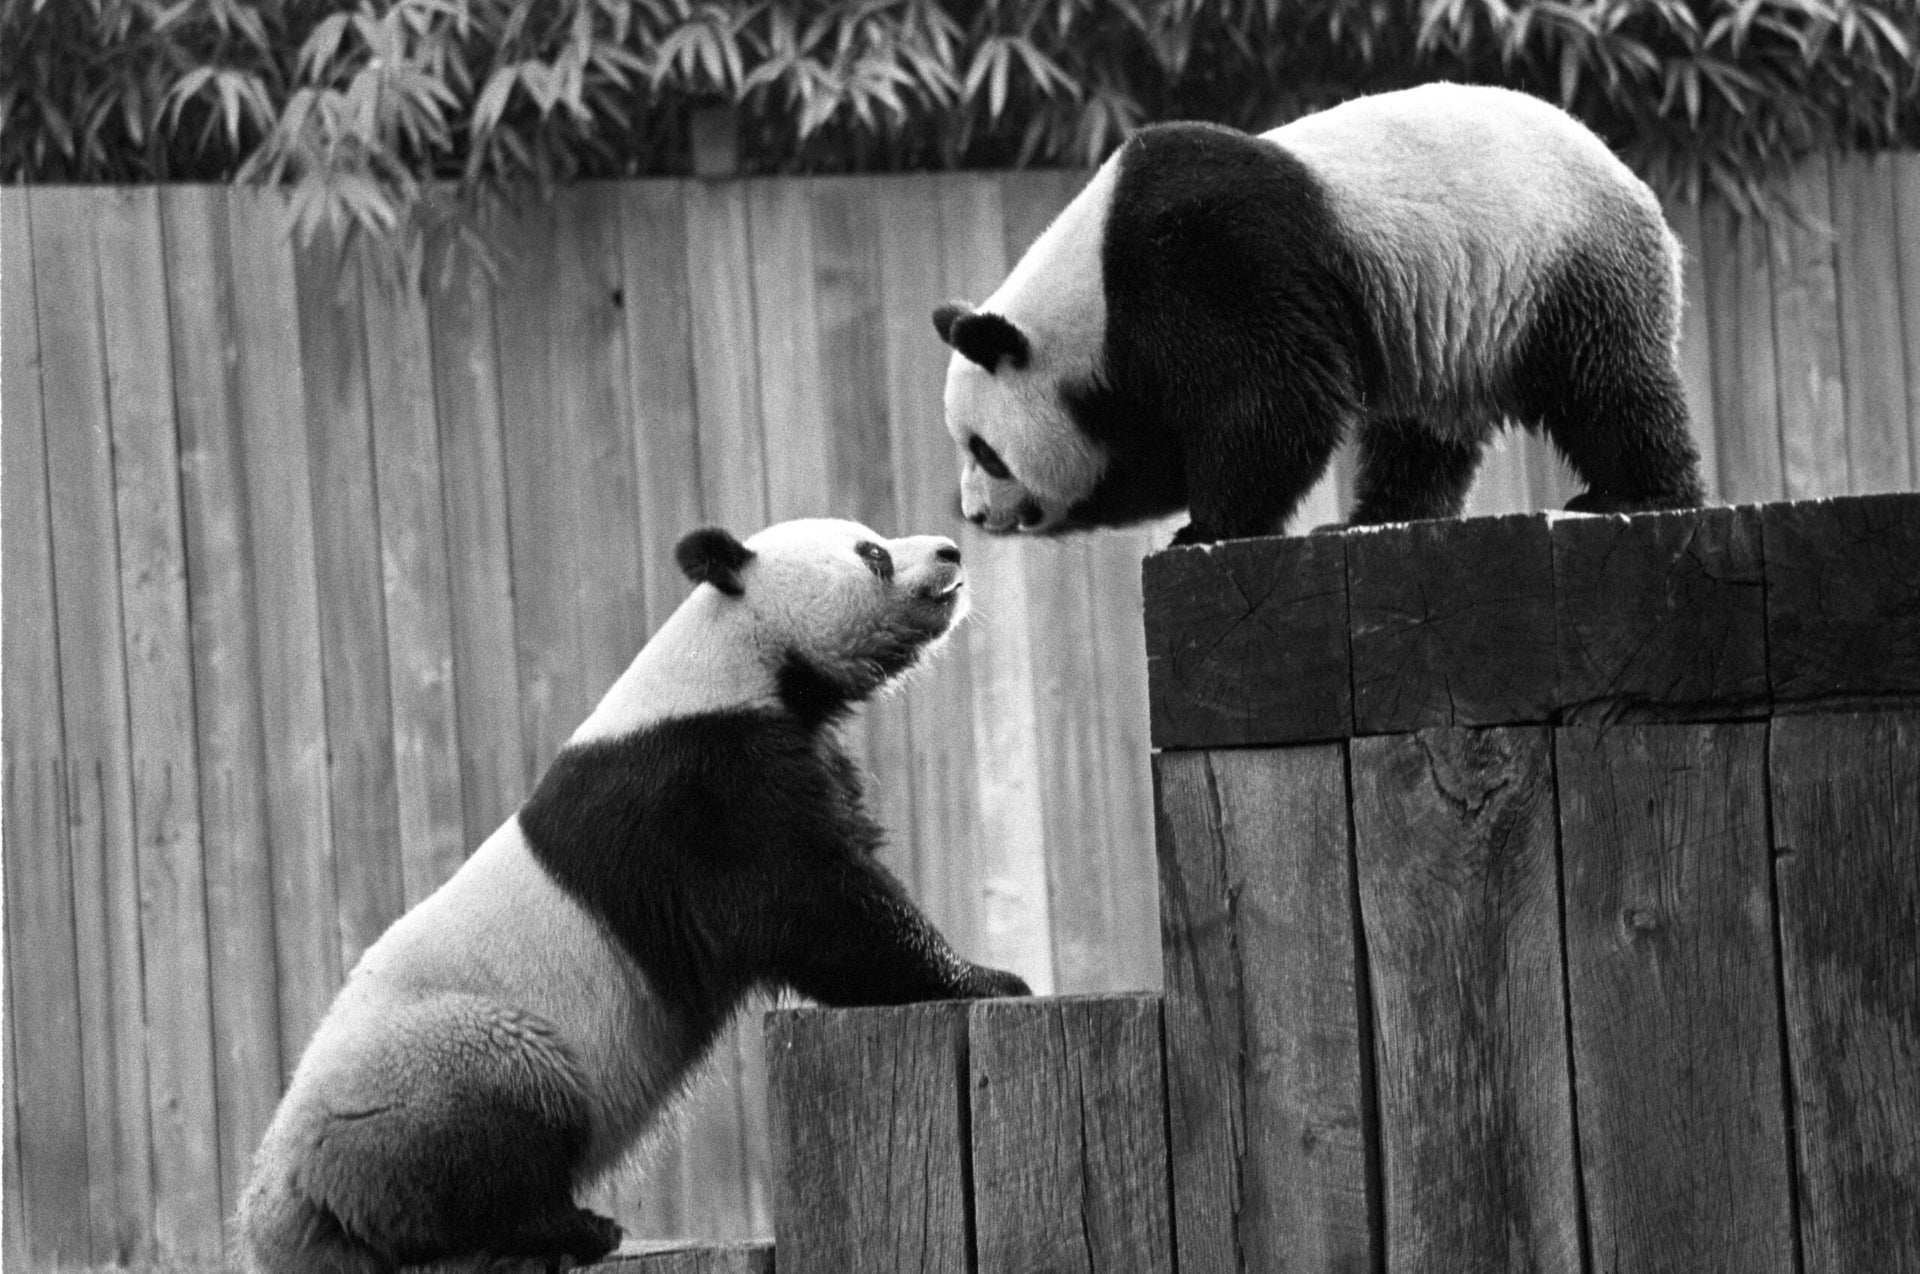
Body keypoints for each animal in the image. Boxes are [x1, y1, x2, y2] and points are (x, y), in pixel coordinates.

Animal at [236, 519, 1028, 1273]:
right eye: (872, 554)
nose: (950, 550)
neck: (732, 653)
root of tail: (281, 1210)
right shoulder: (702, 790)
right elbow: (815, 908)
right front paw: (989, 977)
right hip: (441, 1062)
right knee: (489, 1139)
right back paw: (570, 1226)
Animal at [933, 83, 1706, 545]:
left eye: (985, 451)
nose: (976, 514)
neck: (1089, 284)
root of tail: (1633, 181)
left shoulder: (1207, 260)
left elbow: (1276, 395)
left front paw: (1208, 528)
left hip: (1560, 260)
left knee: (1604, 382)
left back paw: (1641, 494)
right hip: (1443, 328)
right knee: (1421, 429)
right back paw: (1376, 517)